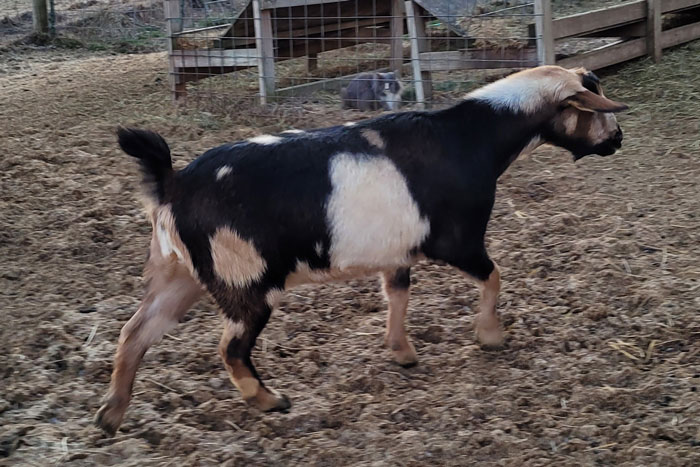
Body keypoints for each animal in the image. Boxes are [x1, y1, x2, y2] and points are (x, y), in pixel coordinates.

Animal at [95, 66, 628, 435]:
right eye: (597, 104)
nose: (619, 140)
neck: (474, 138)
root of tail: (171, 184)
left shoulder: (396, 251)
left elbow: (398, 293)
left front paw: (402, 352)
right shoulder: (457, 240)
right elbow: (494, 275)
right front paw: (490, 337)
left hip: (177, 274)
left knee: (133, 332)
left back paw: (110, 417)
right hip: (243, 281)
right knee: (230, 348)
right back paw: (271, 401)